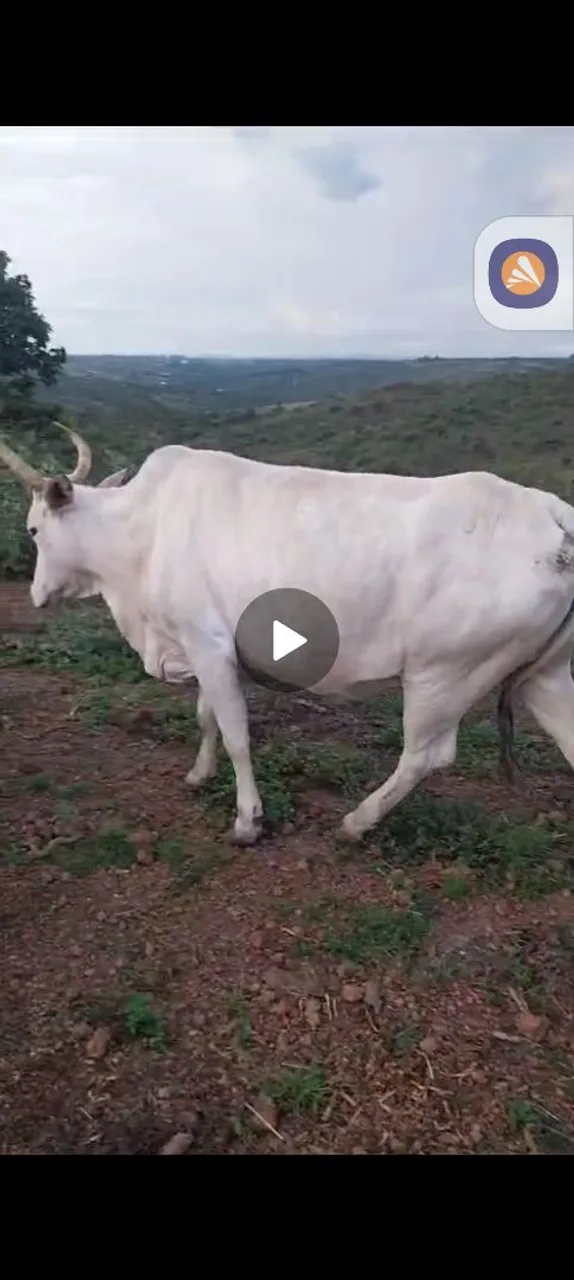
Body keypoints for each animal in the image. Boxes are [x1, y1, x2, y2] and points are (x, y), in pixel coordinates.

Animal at [2, 420, 574, 848]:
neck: (141, 533)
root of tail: (553, 512)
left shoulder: (206, 643)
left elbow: (235, 733)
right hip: (543, 676)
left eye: (34, 529)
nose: (38, 594)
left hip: (445, 673)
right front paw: (198, 775)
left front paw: (248, 821)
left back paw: (355, 823)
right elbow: (208, 718)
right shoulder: (217, 651)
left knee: (424, 756)